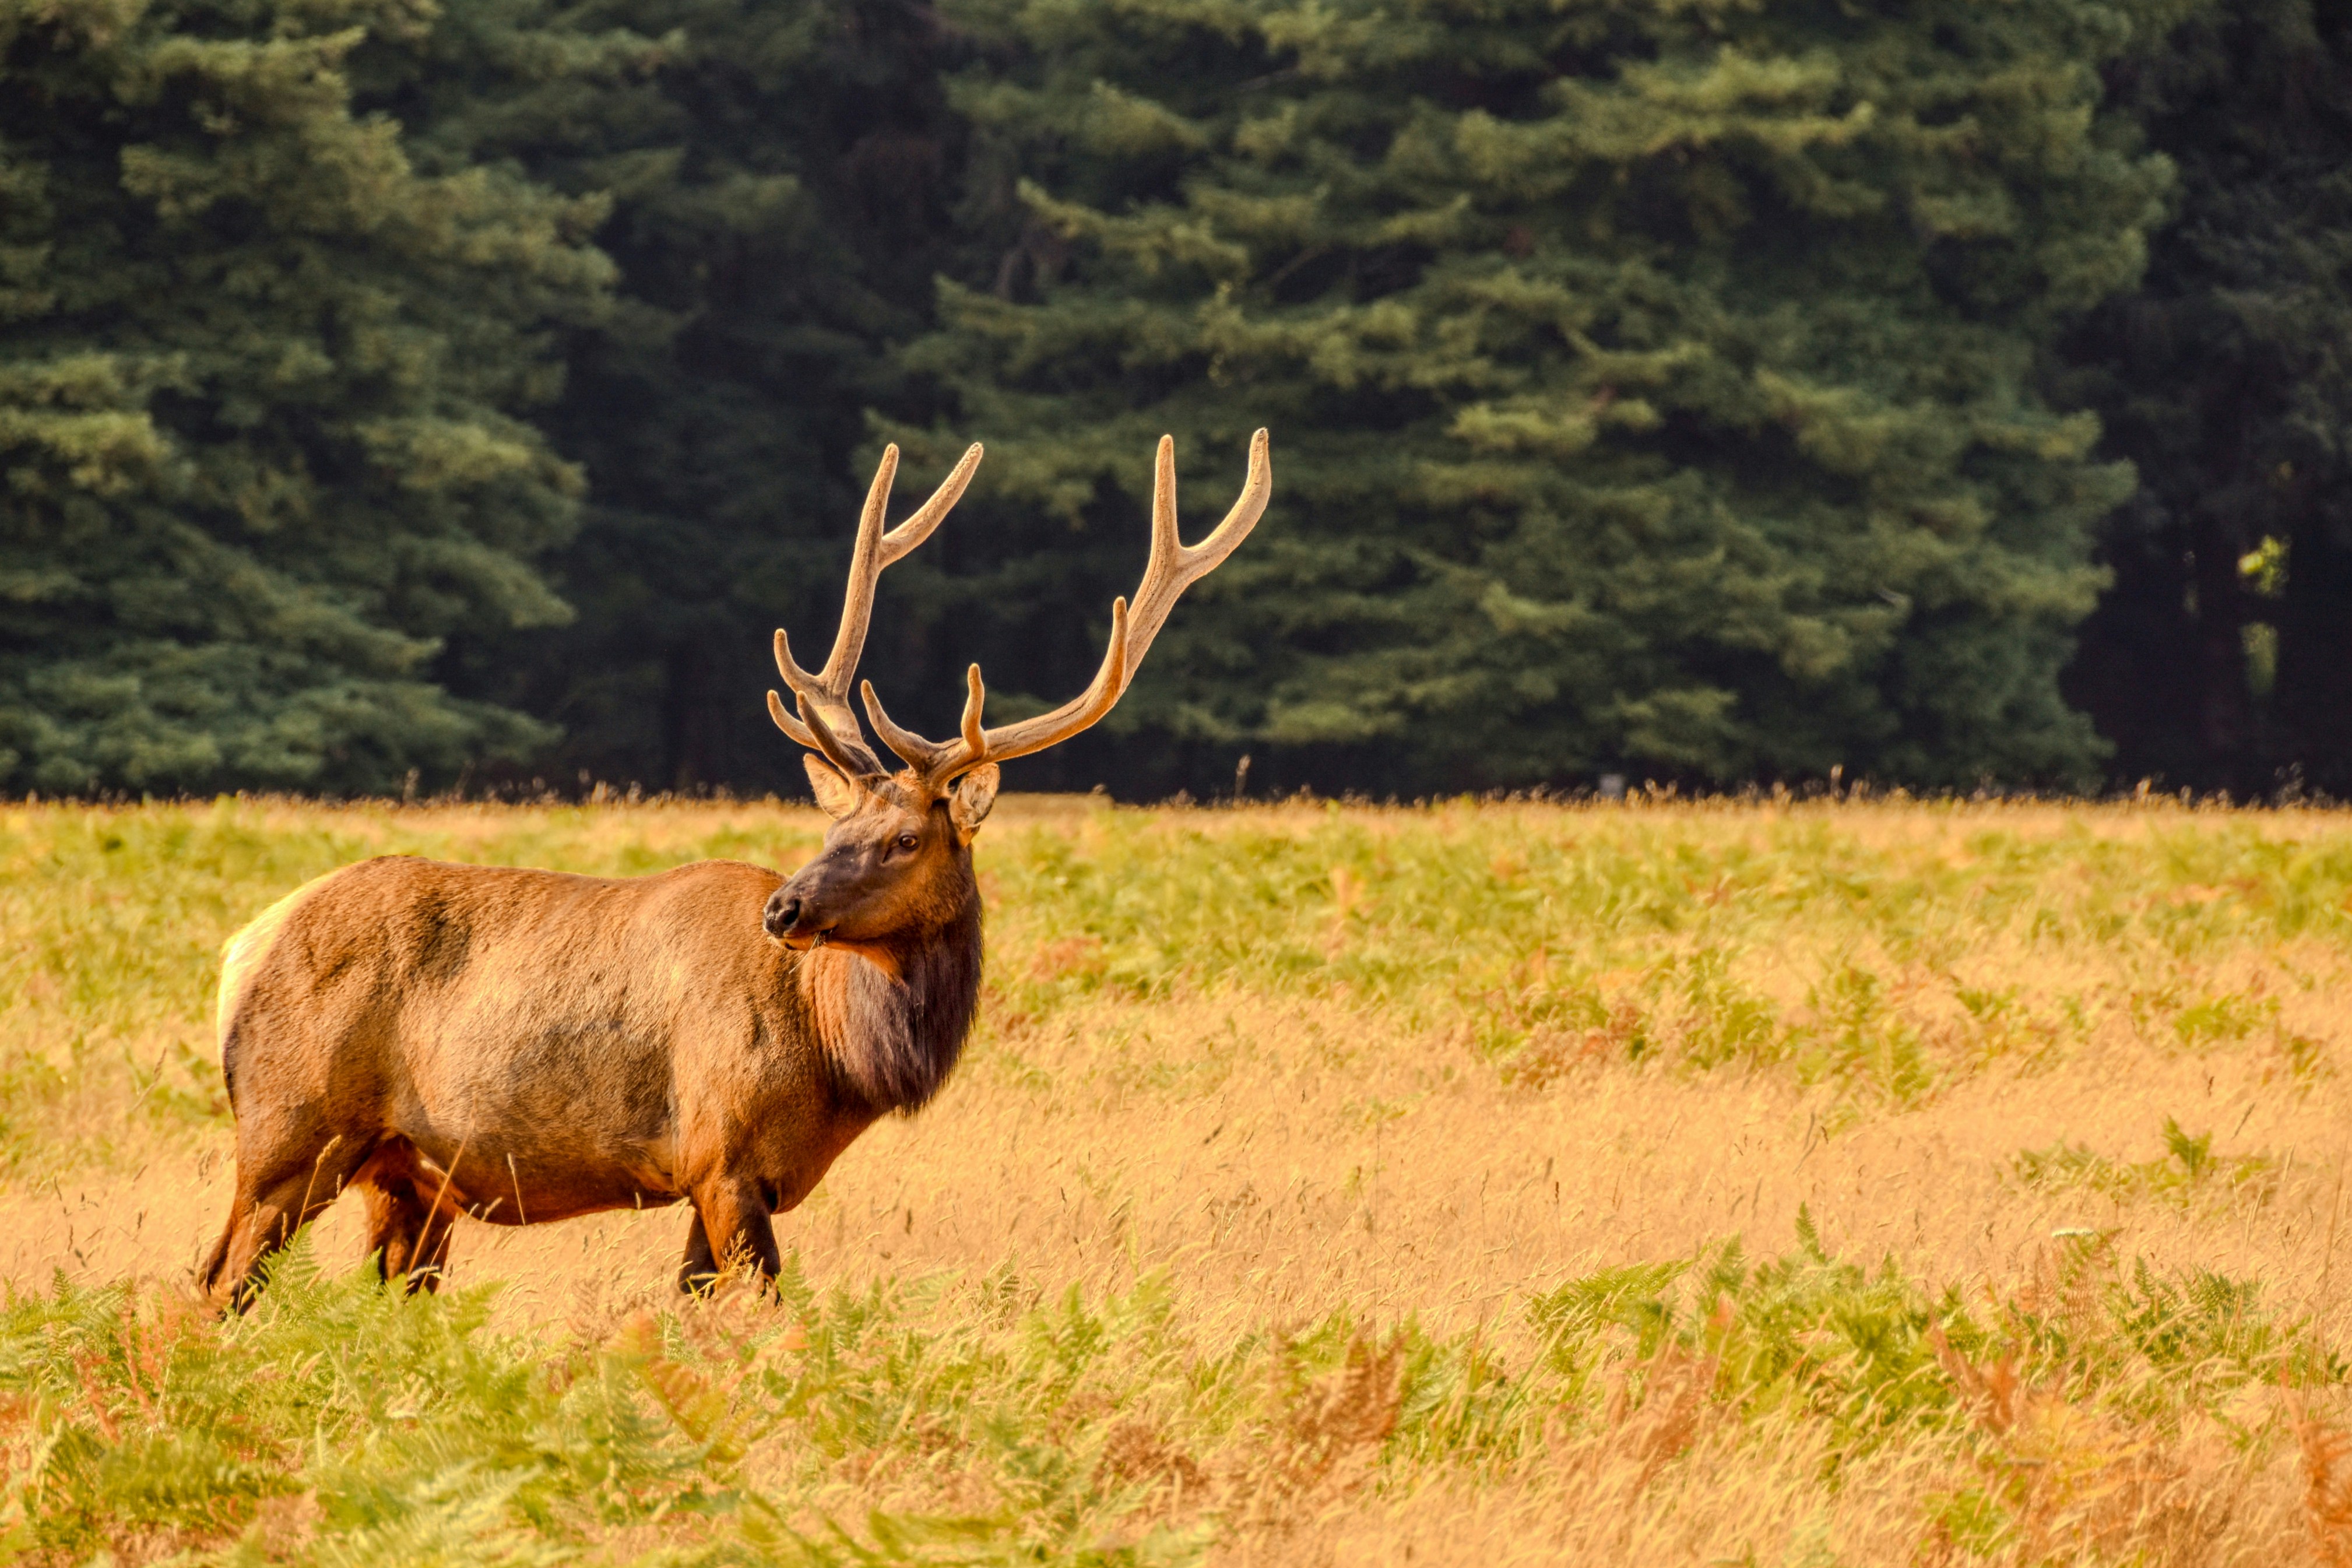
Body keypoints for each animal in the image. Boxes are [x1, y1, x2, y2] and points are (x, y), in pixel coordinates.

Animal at [198, 429, 1271, 1307]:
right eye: (836, 827)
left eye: (901, 839)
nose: (786, 910)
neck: (834, 1055)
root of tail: (241, 950)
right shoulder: (720, 1156)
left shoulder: (730, 1183)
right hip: (292, 1128)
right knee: (216, 1280)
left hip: (407, 1173)